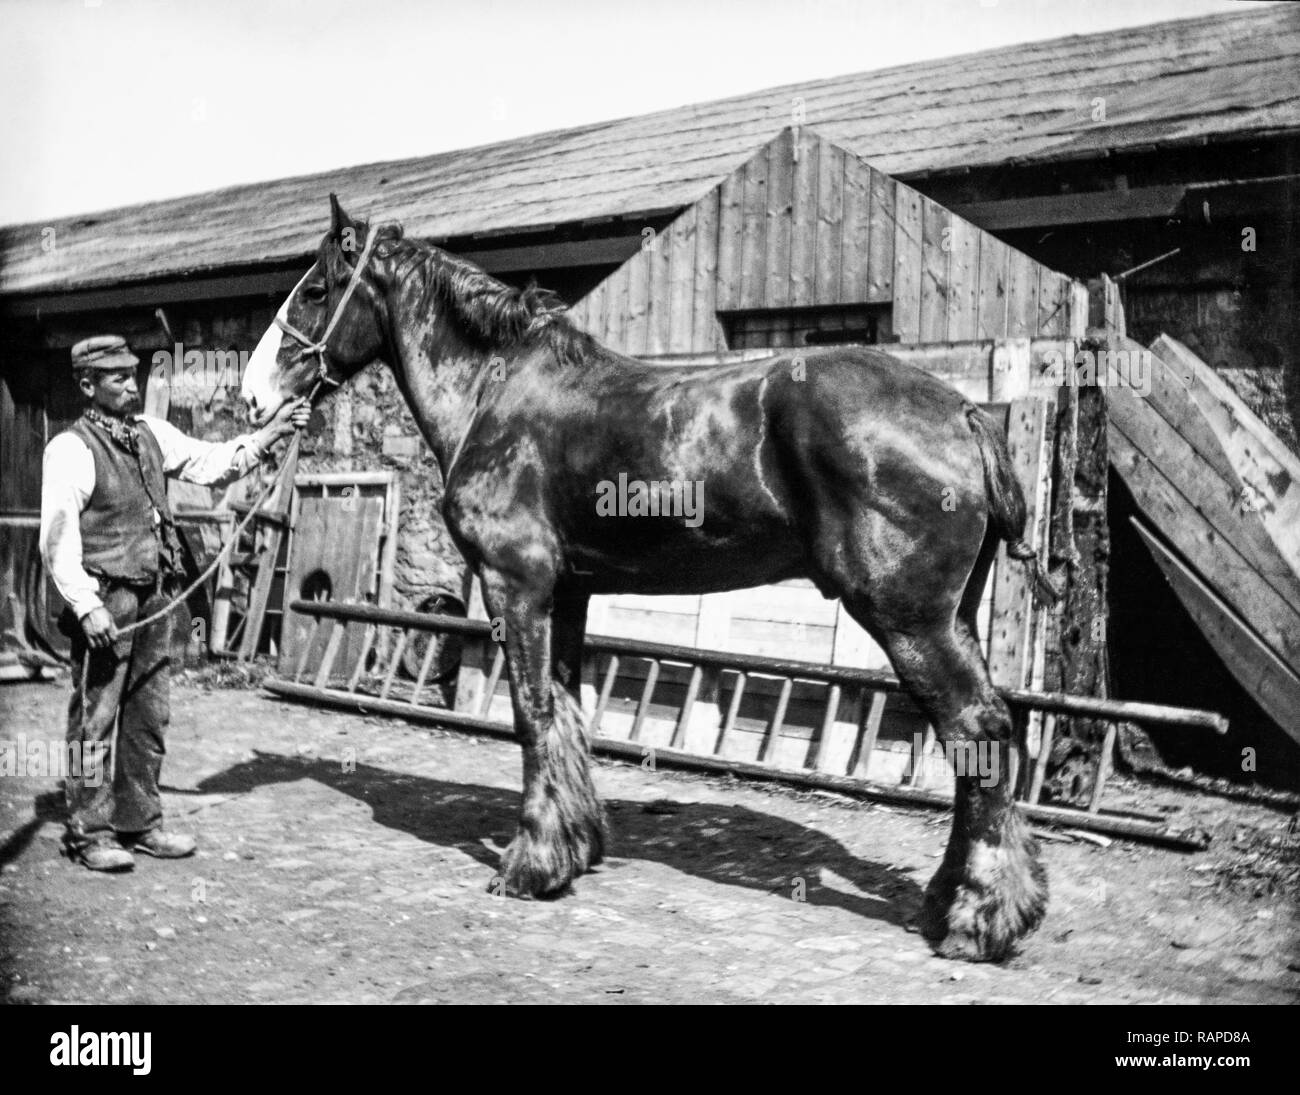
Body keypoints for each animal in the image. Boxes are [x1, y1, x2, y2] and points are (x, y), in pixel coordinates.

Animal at [241, 195, 1059, 962]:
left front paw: (529, 866)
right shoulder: (568, 592)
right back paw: (959, 903)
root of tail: (962, 410)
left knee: (975, 728)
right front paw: (571, 850)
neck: (496, 393)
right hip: (952, 617)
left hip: (909, 618)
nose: (252, 395)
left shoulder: (517, 586)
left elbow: (532, 715)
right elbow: (566, 713)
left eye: (317, 289)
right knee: (983, 740)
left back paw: (976, 919)